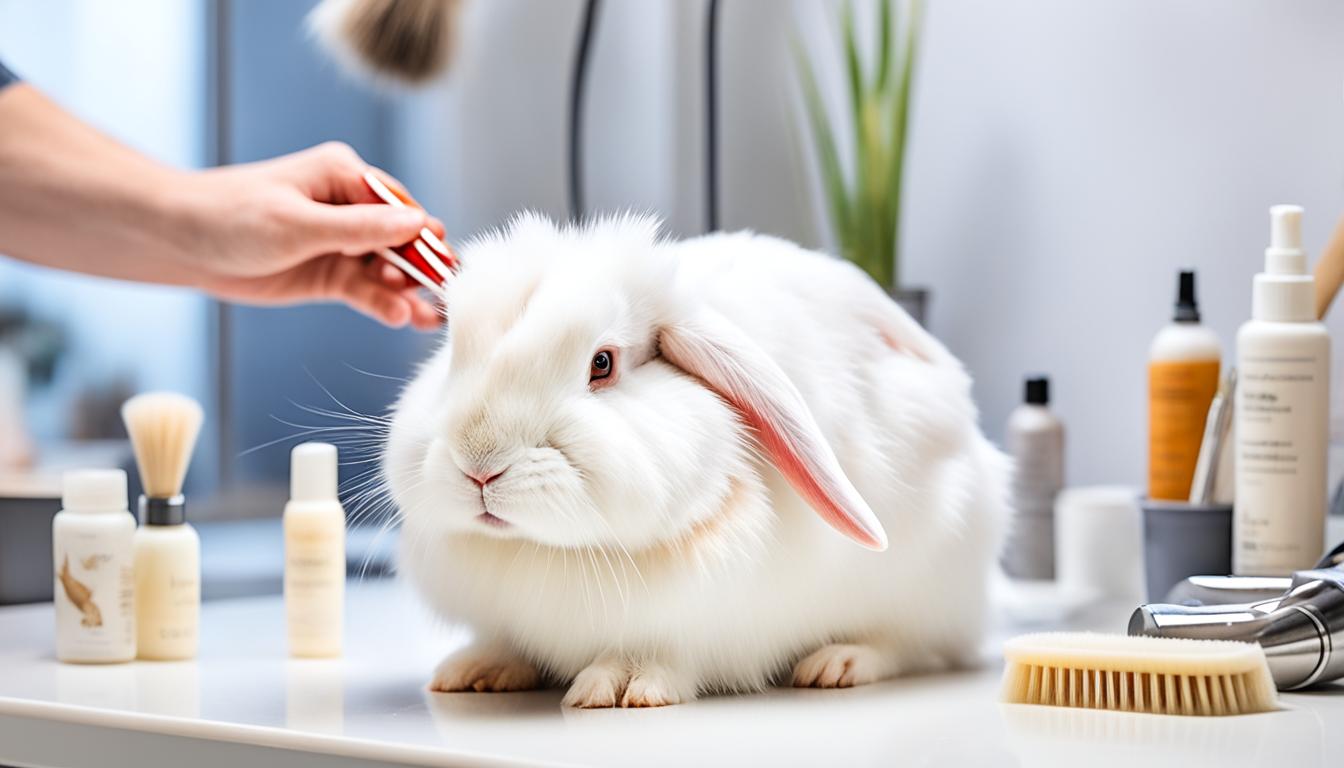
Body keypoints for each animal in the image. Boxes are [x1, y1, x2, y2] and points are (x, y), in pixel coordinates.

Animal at [384, 212, 1009, 708]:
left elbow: (658, 654)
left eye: (602, 363)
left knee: (914, 645)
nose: (478, 465)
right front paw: (476, 671)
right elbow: (505, 640)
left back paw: (838, 664)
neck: (543, 552)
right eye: (457, 354)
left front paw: (620, 687)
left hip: (930, 572)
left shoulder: (702, 624)